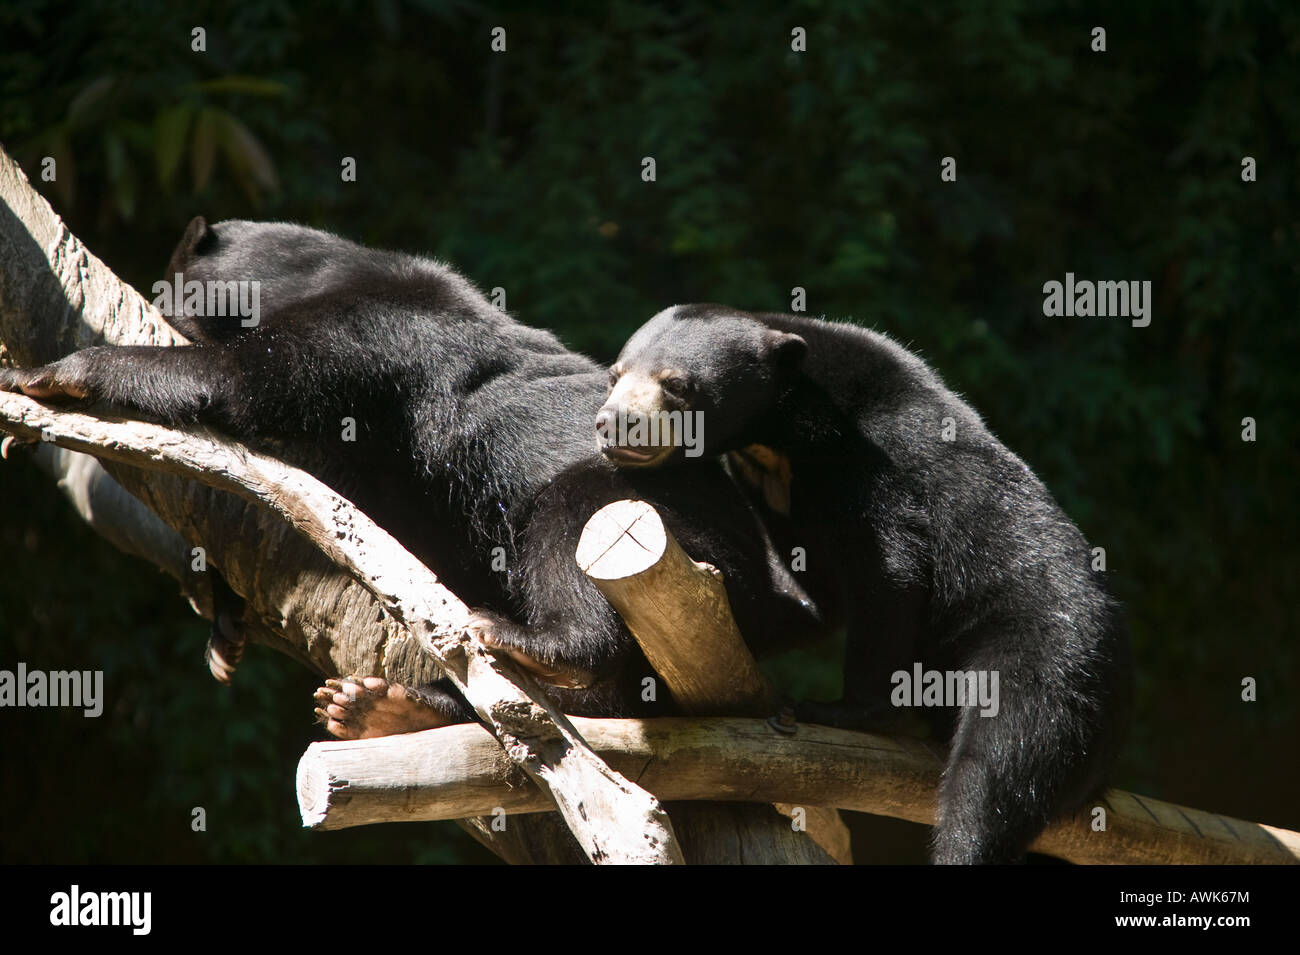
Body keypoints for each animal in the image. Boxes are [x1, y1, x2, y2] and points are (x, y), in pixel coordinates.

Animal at [0, 222, 824, 735]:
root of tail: (782, 597)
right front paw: (224, 629)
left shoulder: (371, 339)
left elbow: (244, 383)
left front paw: (47, 373)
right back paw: (379, 706)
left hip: (667, 533)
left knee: (570, 534)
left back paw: (519, 645)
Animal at [594, 303, 1133, 864]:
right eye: (614, 376)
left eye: (677, 384)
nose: (613, 424)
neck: (783, 438)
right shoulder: (776, 491)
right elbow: (816, 594)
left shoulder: (877, 464)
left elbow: (890, 576)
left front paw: (838, 710)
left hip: (1049, 654)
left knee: (999, 763)